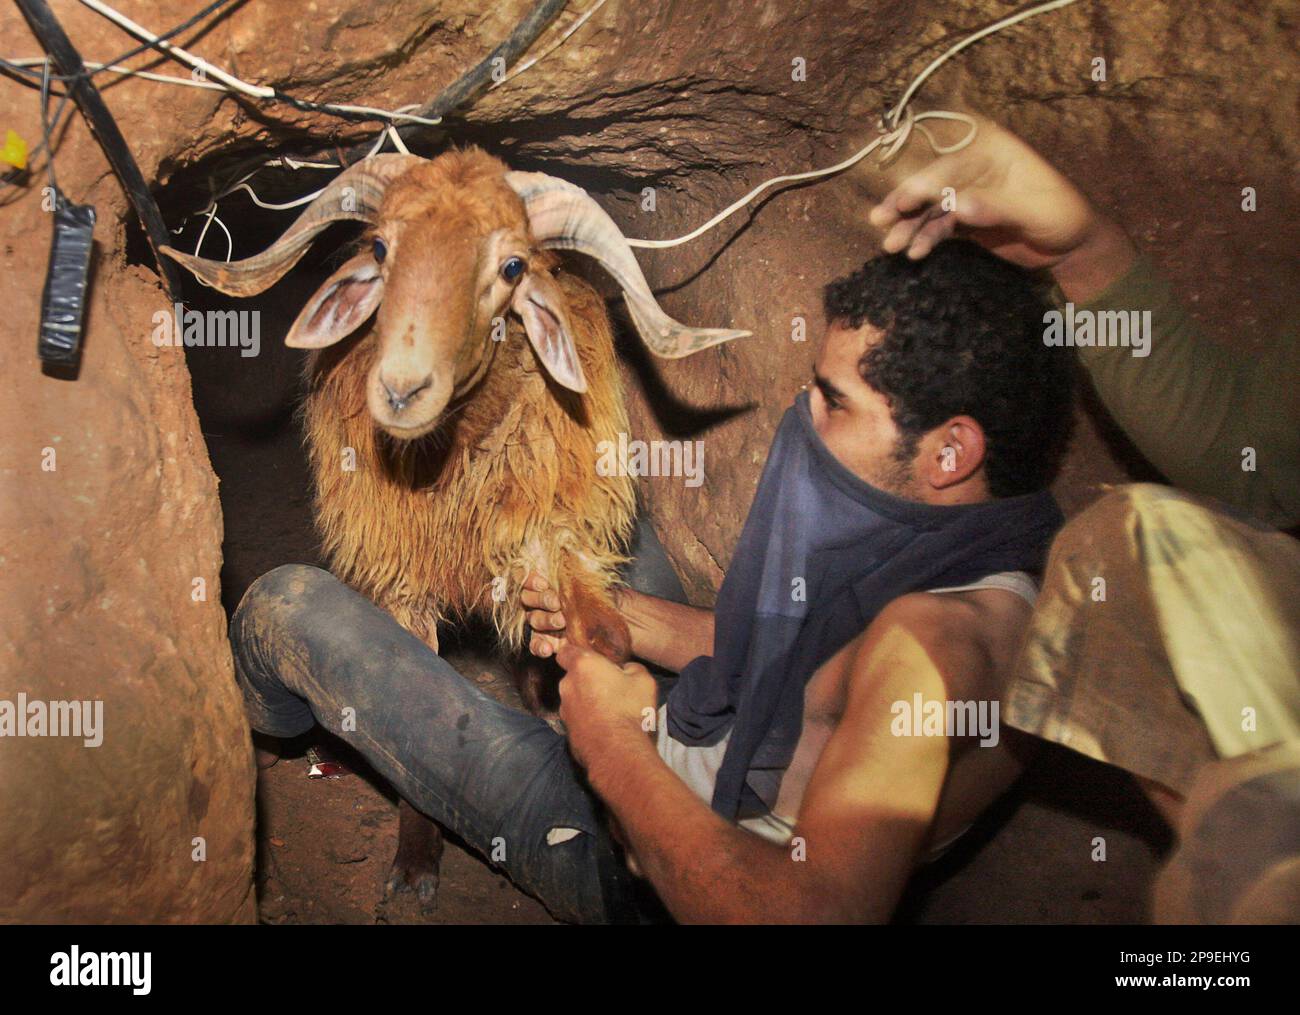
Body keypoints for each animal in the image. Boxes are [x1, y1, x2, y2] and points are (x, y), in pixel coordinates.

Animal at [161, 147, 747, 912]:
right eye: (381, 247)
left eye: (513, 267)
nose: (402, 389)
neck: (457, 451)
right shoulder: (402, 583)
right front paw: (415, 863)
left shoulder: (548, 541)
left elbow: (605, 633)